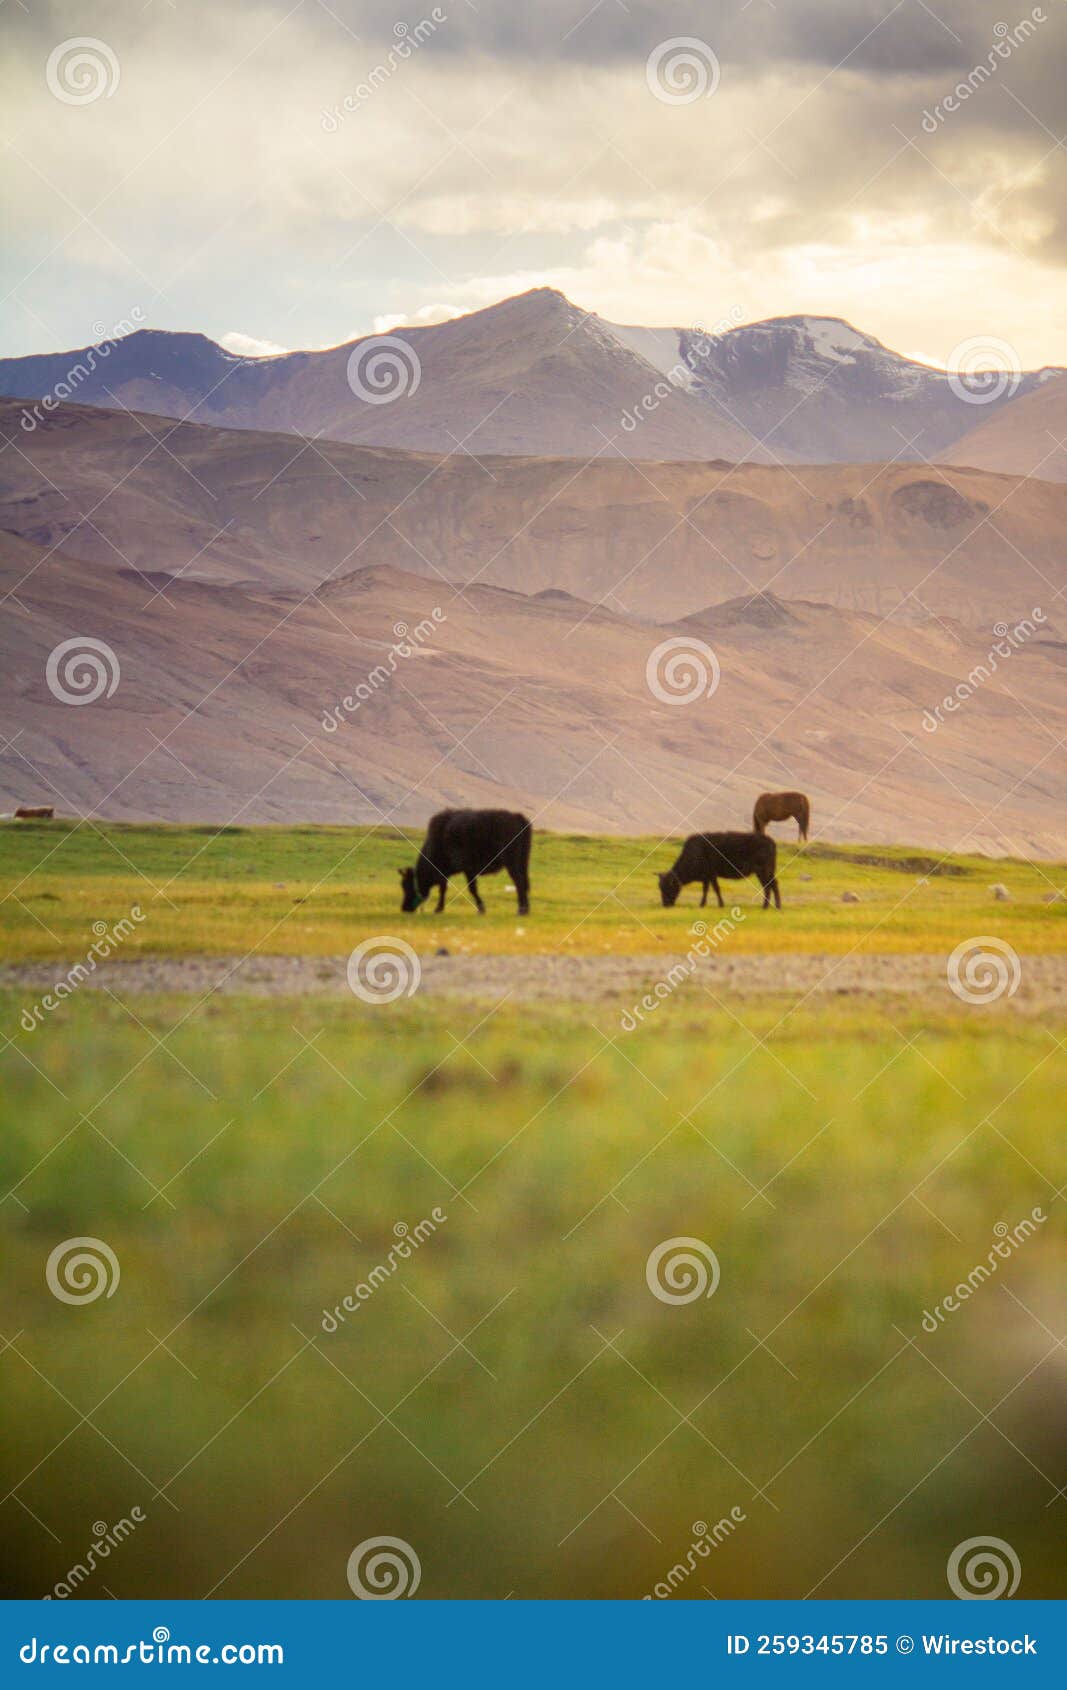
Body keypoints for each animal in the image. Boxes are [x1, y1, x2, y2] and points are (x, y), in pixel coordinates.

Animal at [400, 809, 532, 915]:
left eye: (406, 885)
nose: (404, 908)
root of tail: (516, 816)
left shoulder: (467, 869)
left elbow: (471, 888)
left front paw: (481, 908)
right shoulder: (448, 873)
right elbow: (443, 889)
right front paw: (439, 908)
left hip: (512, 862)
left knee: (519, 881)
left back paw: (521, 910)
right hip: (522, 862)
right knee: (524, 882)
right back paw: (526, 909)